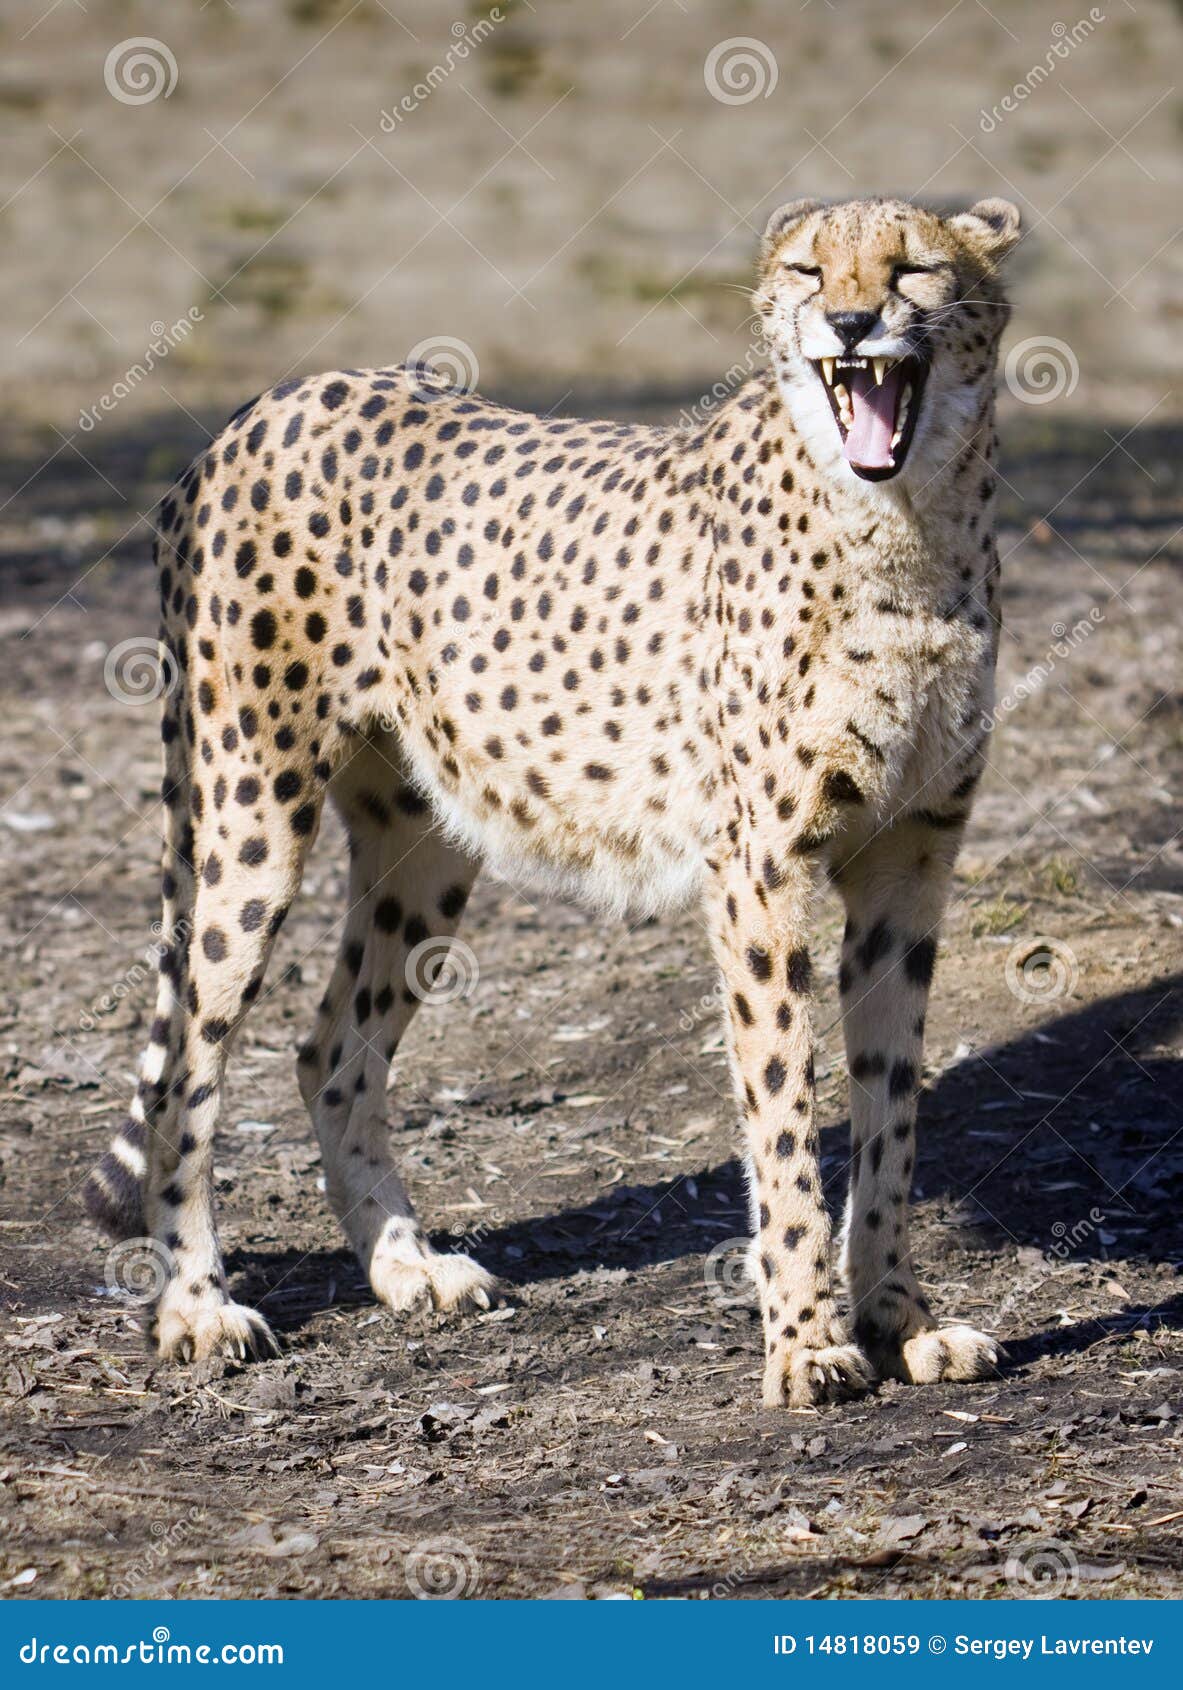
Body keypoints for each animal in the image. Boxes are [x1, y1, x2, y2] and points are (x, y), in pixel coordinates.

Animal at [85, 195, 1021, 1408]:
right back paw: (196, 1307)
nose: (853, 323)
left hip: (424, 848)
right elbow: (781, 1108)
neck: (902, 526)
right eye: (811, 270)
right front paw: (809, 1342)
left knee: (330, 1050)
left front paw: (900, 1317)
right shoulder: (757, 872)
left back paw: (407, 1266)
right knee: (189, 1071)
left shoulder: (907, 865)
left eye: (910, 269)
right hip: (250, 811)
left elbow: (888, 1109)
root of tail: (273, 399)